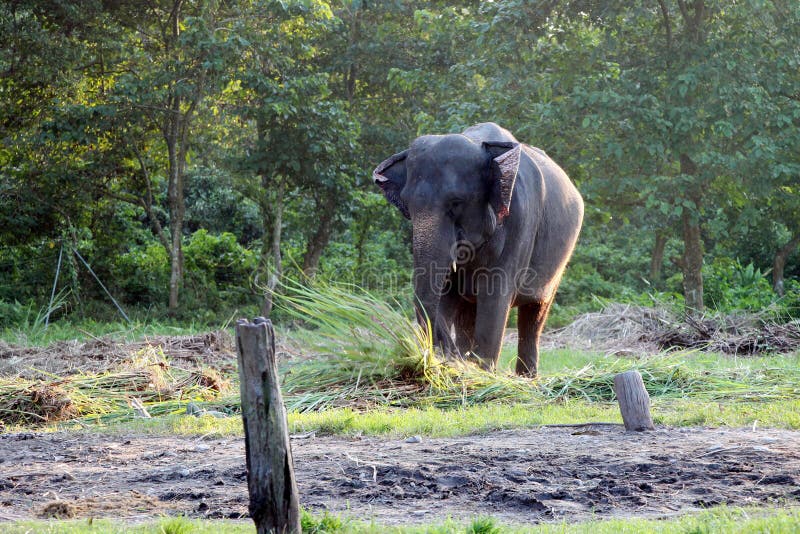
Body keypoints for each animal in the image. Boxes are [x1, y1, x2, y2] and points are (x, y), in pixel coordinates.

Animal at [373, 122, 583, 377]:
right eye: (408, 206)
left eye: (456, 203)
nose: (445, 352)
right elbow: (446, 294)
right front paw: (460, 363)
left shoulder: (520, 222)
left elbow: (495, 297)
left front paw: (480, 371)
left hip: (557, 265)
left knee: (535, 313)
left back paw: (526, 378)